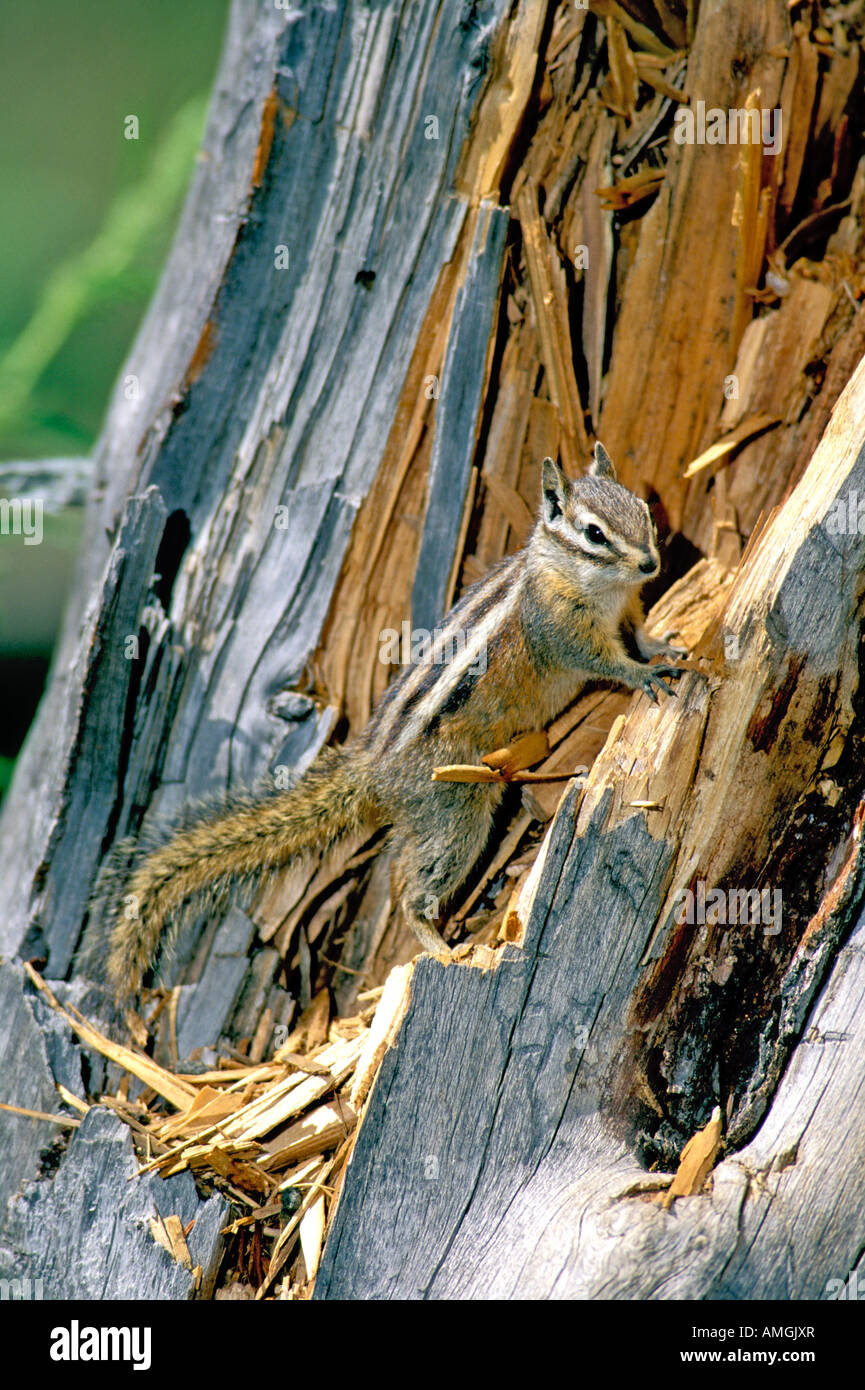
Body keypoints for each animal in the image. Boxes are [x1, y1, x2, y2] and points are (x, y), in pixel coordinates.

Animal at [97, 442, 685, 1003]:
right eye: (593, 533)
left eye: (642, 509)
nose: (650, 564)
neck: (592, 585)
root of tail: (372, 768)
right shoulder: (560, 629)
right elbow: (601, 660)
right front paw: (641, 674)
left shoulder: (627, 607)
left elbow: (639, 630)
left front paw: (665, 646)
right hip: (454, 805)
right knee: (410, 886)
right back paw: (443, 948)